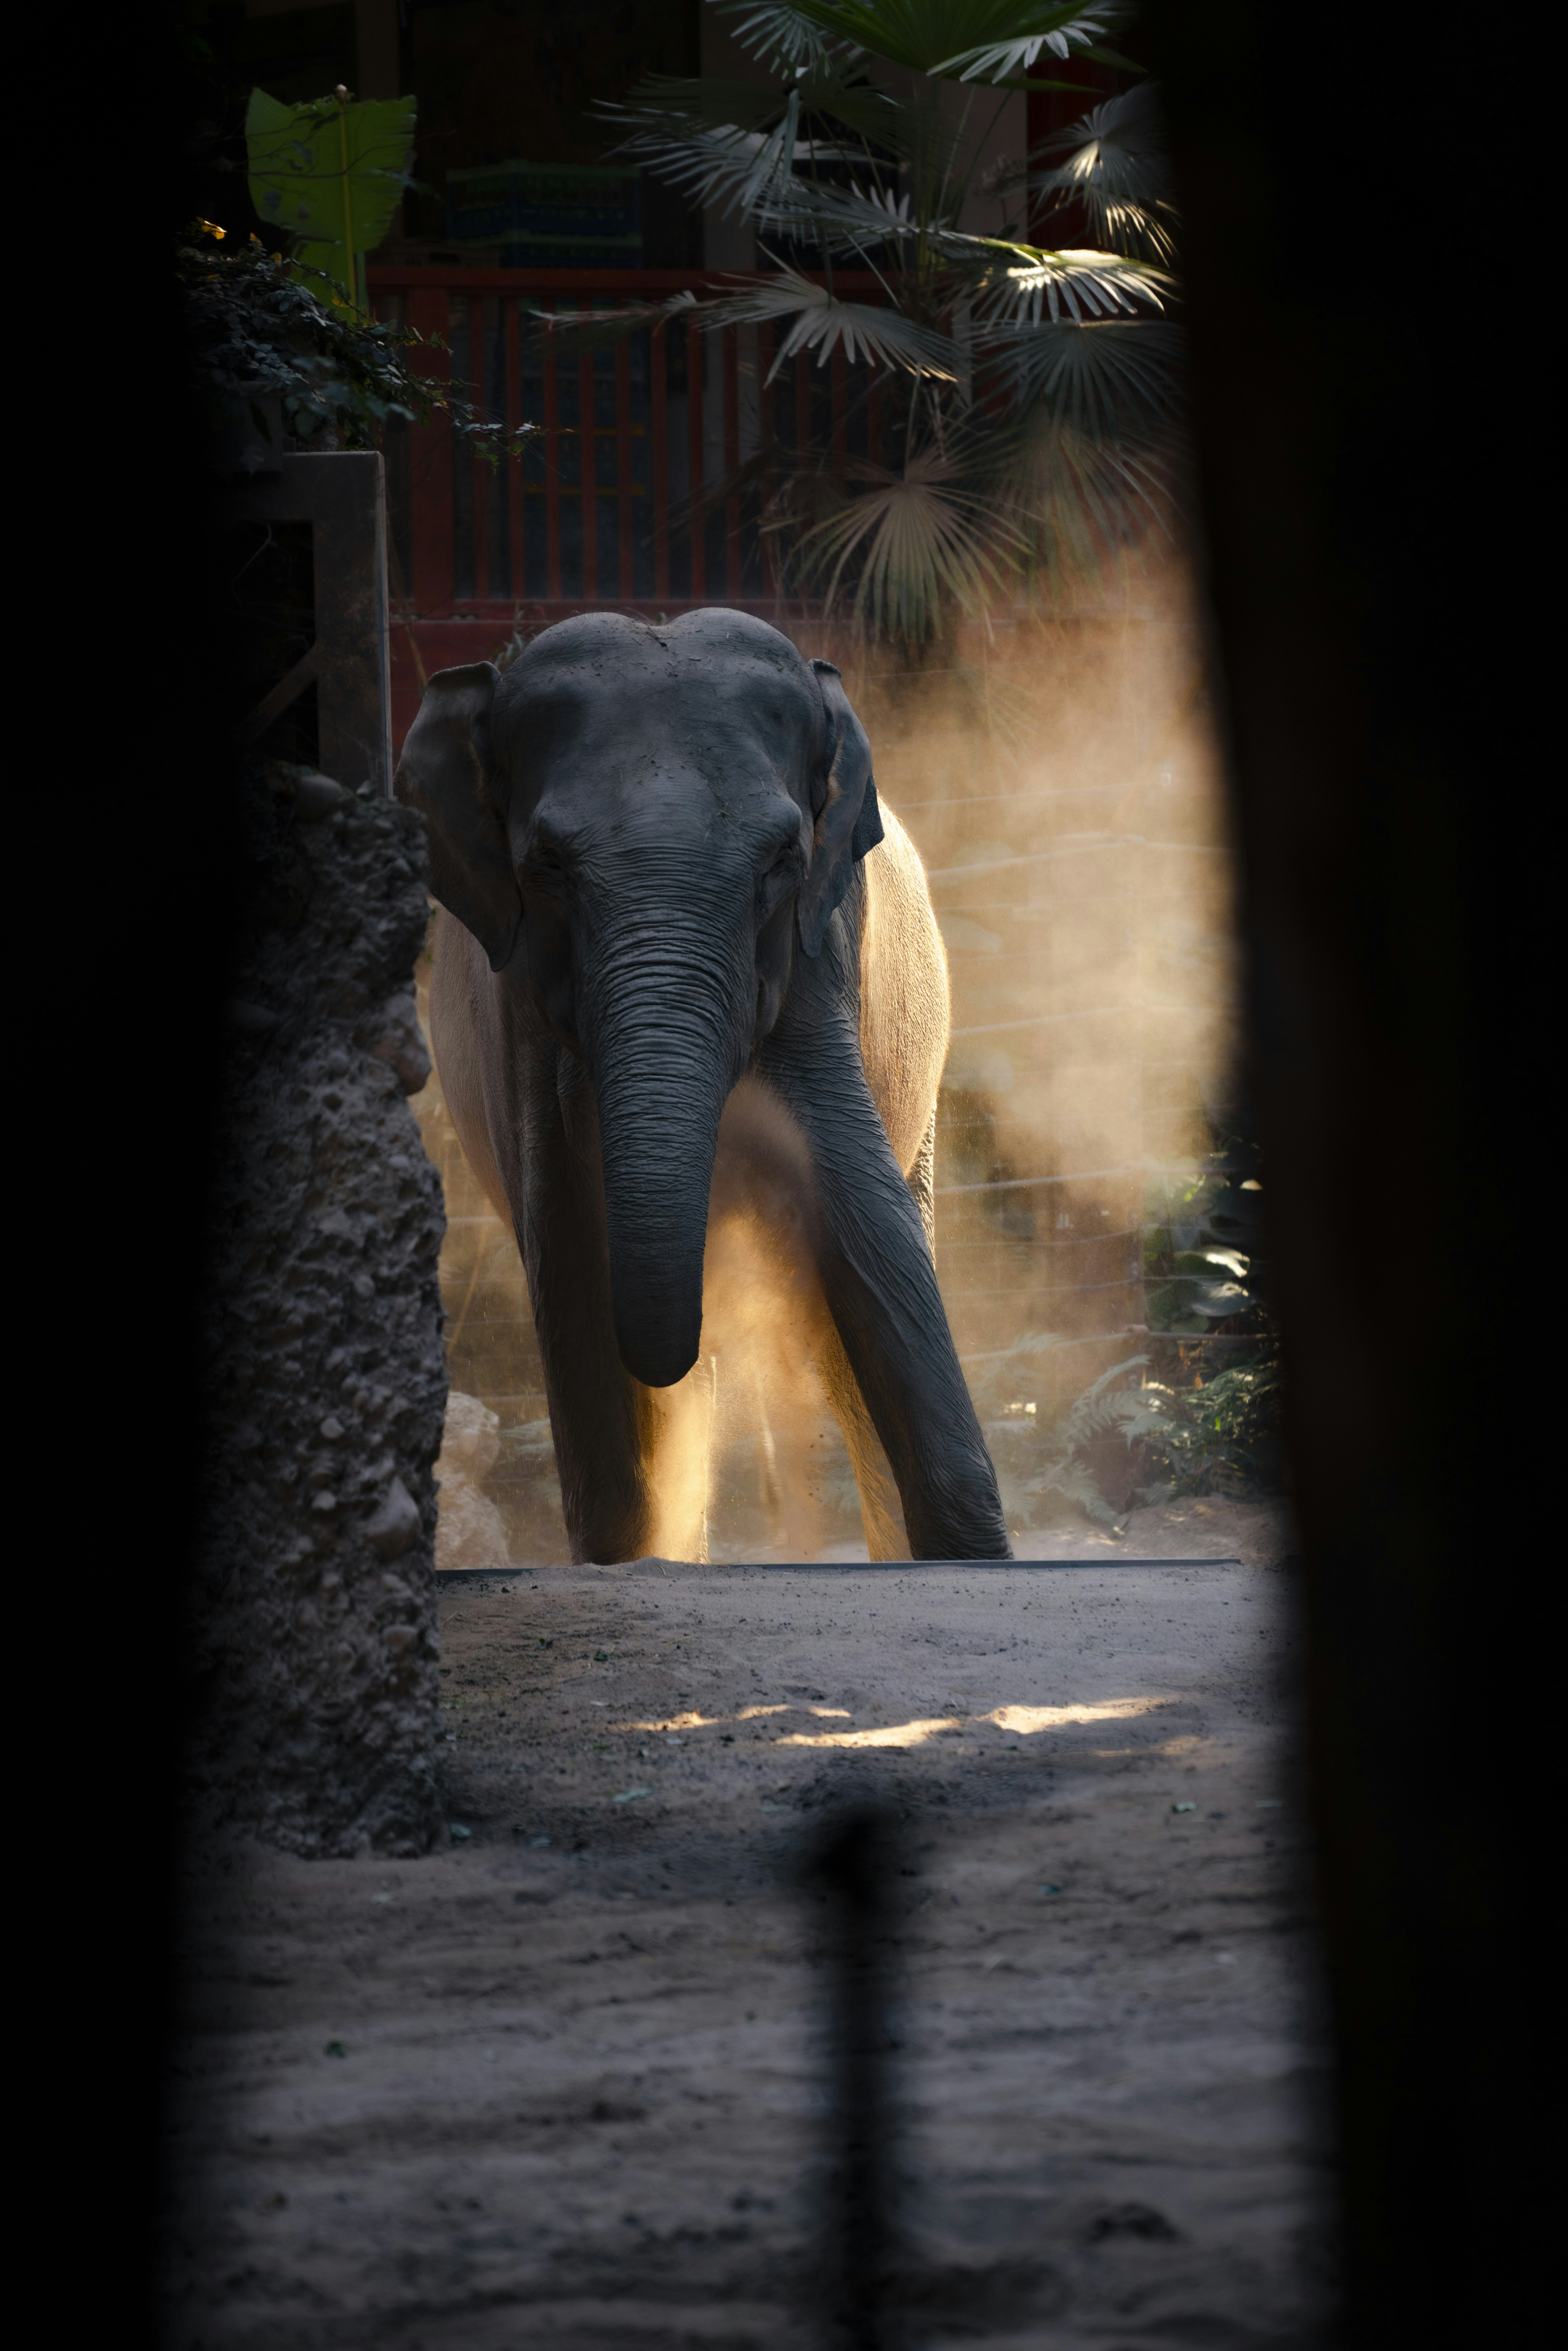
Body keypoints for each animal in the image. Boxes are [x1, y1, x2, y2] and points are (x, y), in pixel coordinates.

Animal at [395, 607, 1010, 1564]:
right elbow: (568, 1247)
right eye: (545, 864)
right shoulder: (520, 1004)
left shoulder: (820, 951)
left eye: (784, 859)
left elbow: (863, 1216)